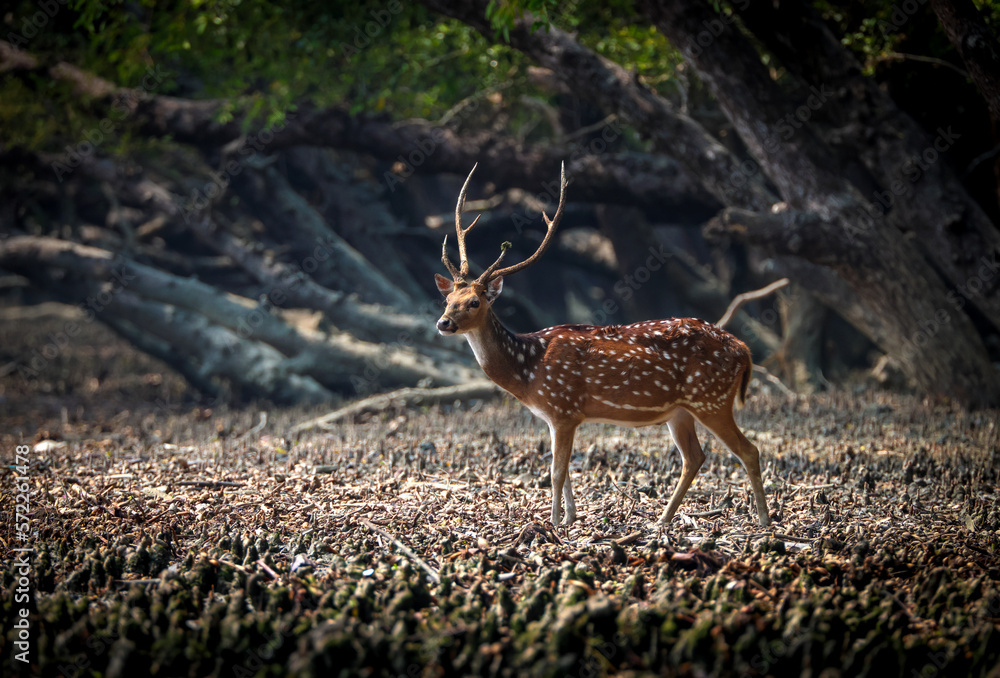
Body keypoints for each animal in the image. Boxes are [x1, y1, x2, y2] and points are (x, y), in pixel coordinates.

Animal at [434, 163, 770, 528]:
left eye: (475, 302)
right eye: (448, 299)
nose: (443, 323)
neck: (528, 371)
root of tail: (743, 349)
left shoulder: (564, 408)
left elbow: (556, 471)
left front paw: (555, 522)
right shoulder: (555, 417)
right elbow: (565, 471)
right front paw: (569, 516)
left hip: (711, 398)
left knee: (748, 450)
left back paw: (763, 520)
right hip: (681, 410)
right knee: (695, 456)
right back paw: (662, 520)